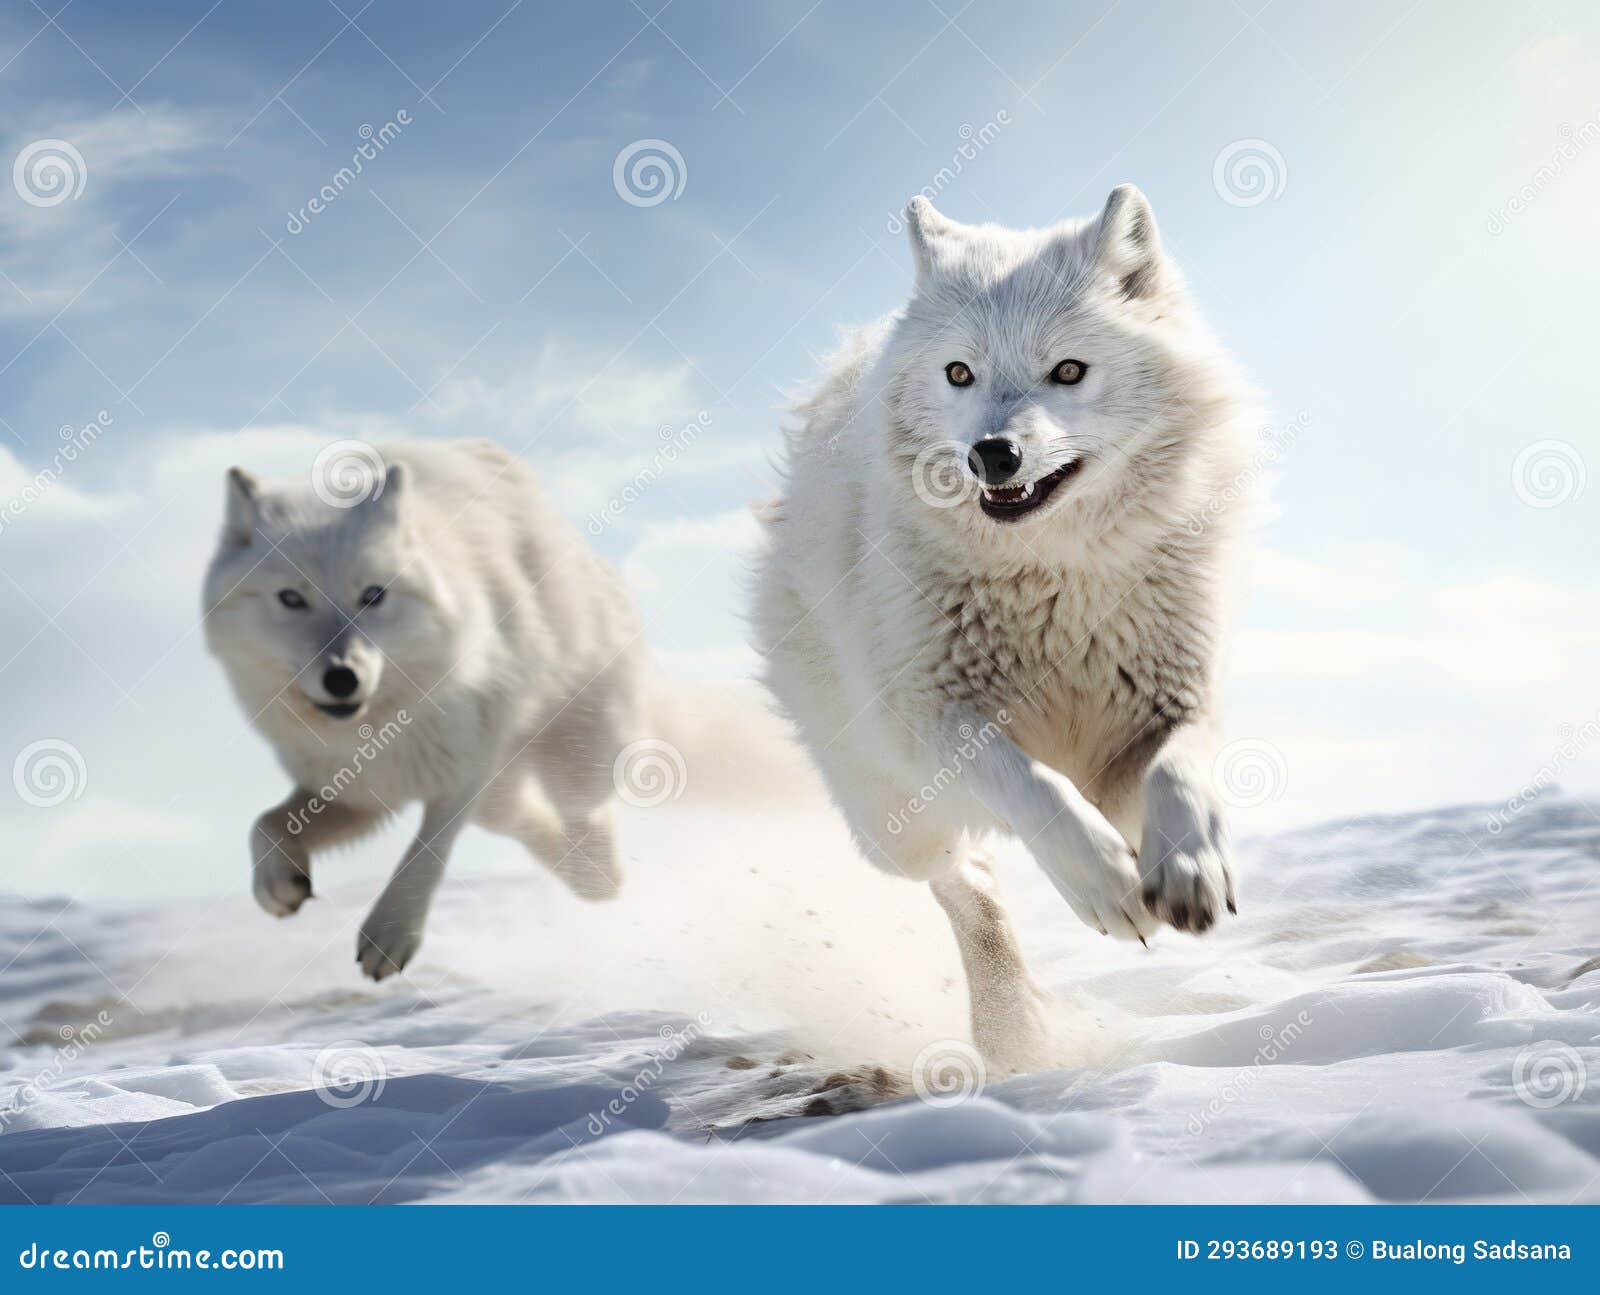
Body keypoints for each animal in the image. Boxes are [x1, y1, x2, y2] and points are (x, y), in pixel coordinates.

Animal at [203, 438, 645, 980]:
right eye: (291, 598)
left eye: (372, 595)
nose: (342, 677)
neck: (380, 726)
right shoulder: (360, 792)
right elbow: (264, 824)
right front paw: (276, 883)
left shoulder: (467, 764)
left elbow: (425, 850)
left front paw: (391, 931)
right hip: (500, 795)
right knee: (522, 817)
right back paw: (581, 873)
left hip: (573, 751)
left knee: (583, 805)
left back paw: (598, 874)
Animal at [753, 187, 1258, 1071]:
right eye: (960, 372)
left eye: (1068, 370)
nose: (994, 454)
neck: (1056, 581)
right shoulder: (938, 721)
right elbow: (1034, 787)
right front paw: (1105, 883)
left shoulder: (1164, 705)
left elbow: (1181, 772)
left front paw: (1189, 868)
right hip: (894, 820)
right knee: (966, 882)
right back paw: (1011, 1029)